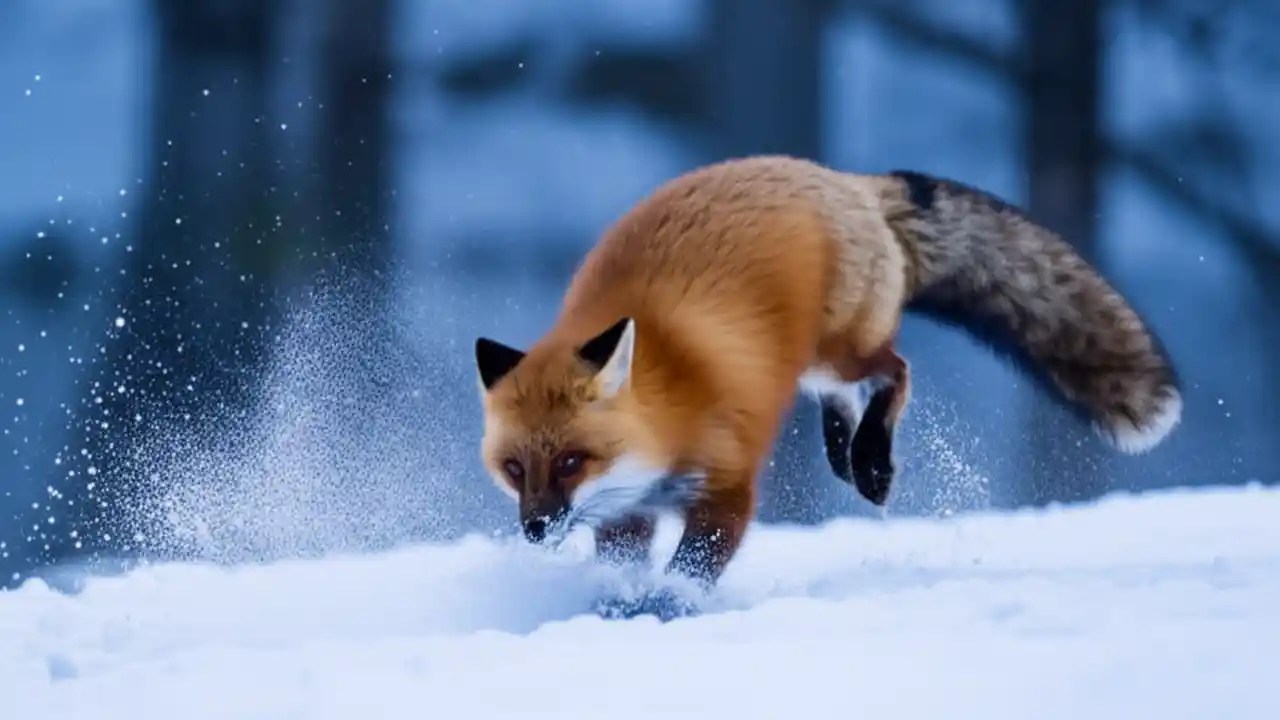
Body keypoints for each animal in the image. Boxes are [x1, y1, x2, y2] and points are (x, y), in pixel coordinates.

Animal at [473, 155, 1180, 587]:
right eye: (515, 469)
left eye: (571, 462)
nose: (535, 529)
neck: (668, 403)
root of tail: (844, 179)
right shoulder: (625, 515)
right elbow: (625, 564)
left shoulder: (728, 491)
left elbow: (690, 570)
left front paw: (665, 606)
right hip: (812, 362)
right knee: (842, 395)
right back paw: (844, 452)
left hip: (841, 343)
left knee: (894, 370)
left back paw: (871, 461)